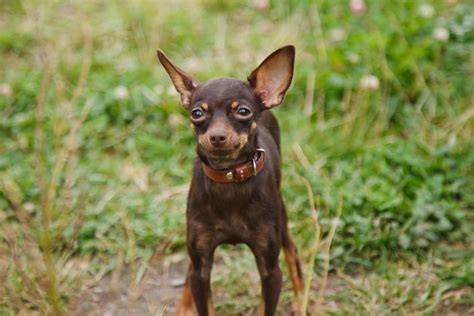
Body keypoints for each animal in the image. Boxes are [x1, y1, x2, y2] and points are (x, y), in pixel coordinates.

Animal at [156, 45, 304, 316]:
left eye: (243, 111)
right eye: (197, 113)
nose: (217, 136)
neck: (229, 179)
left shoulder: (271, 271)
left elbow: (267, 305)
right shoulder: (201, 267)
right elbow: (201, 293)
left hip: (283, 219)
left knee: (291, 251)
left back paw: (301, 298)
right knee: (189, 270)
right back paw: (184, 306)